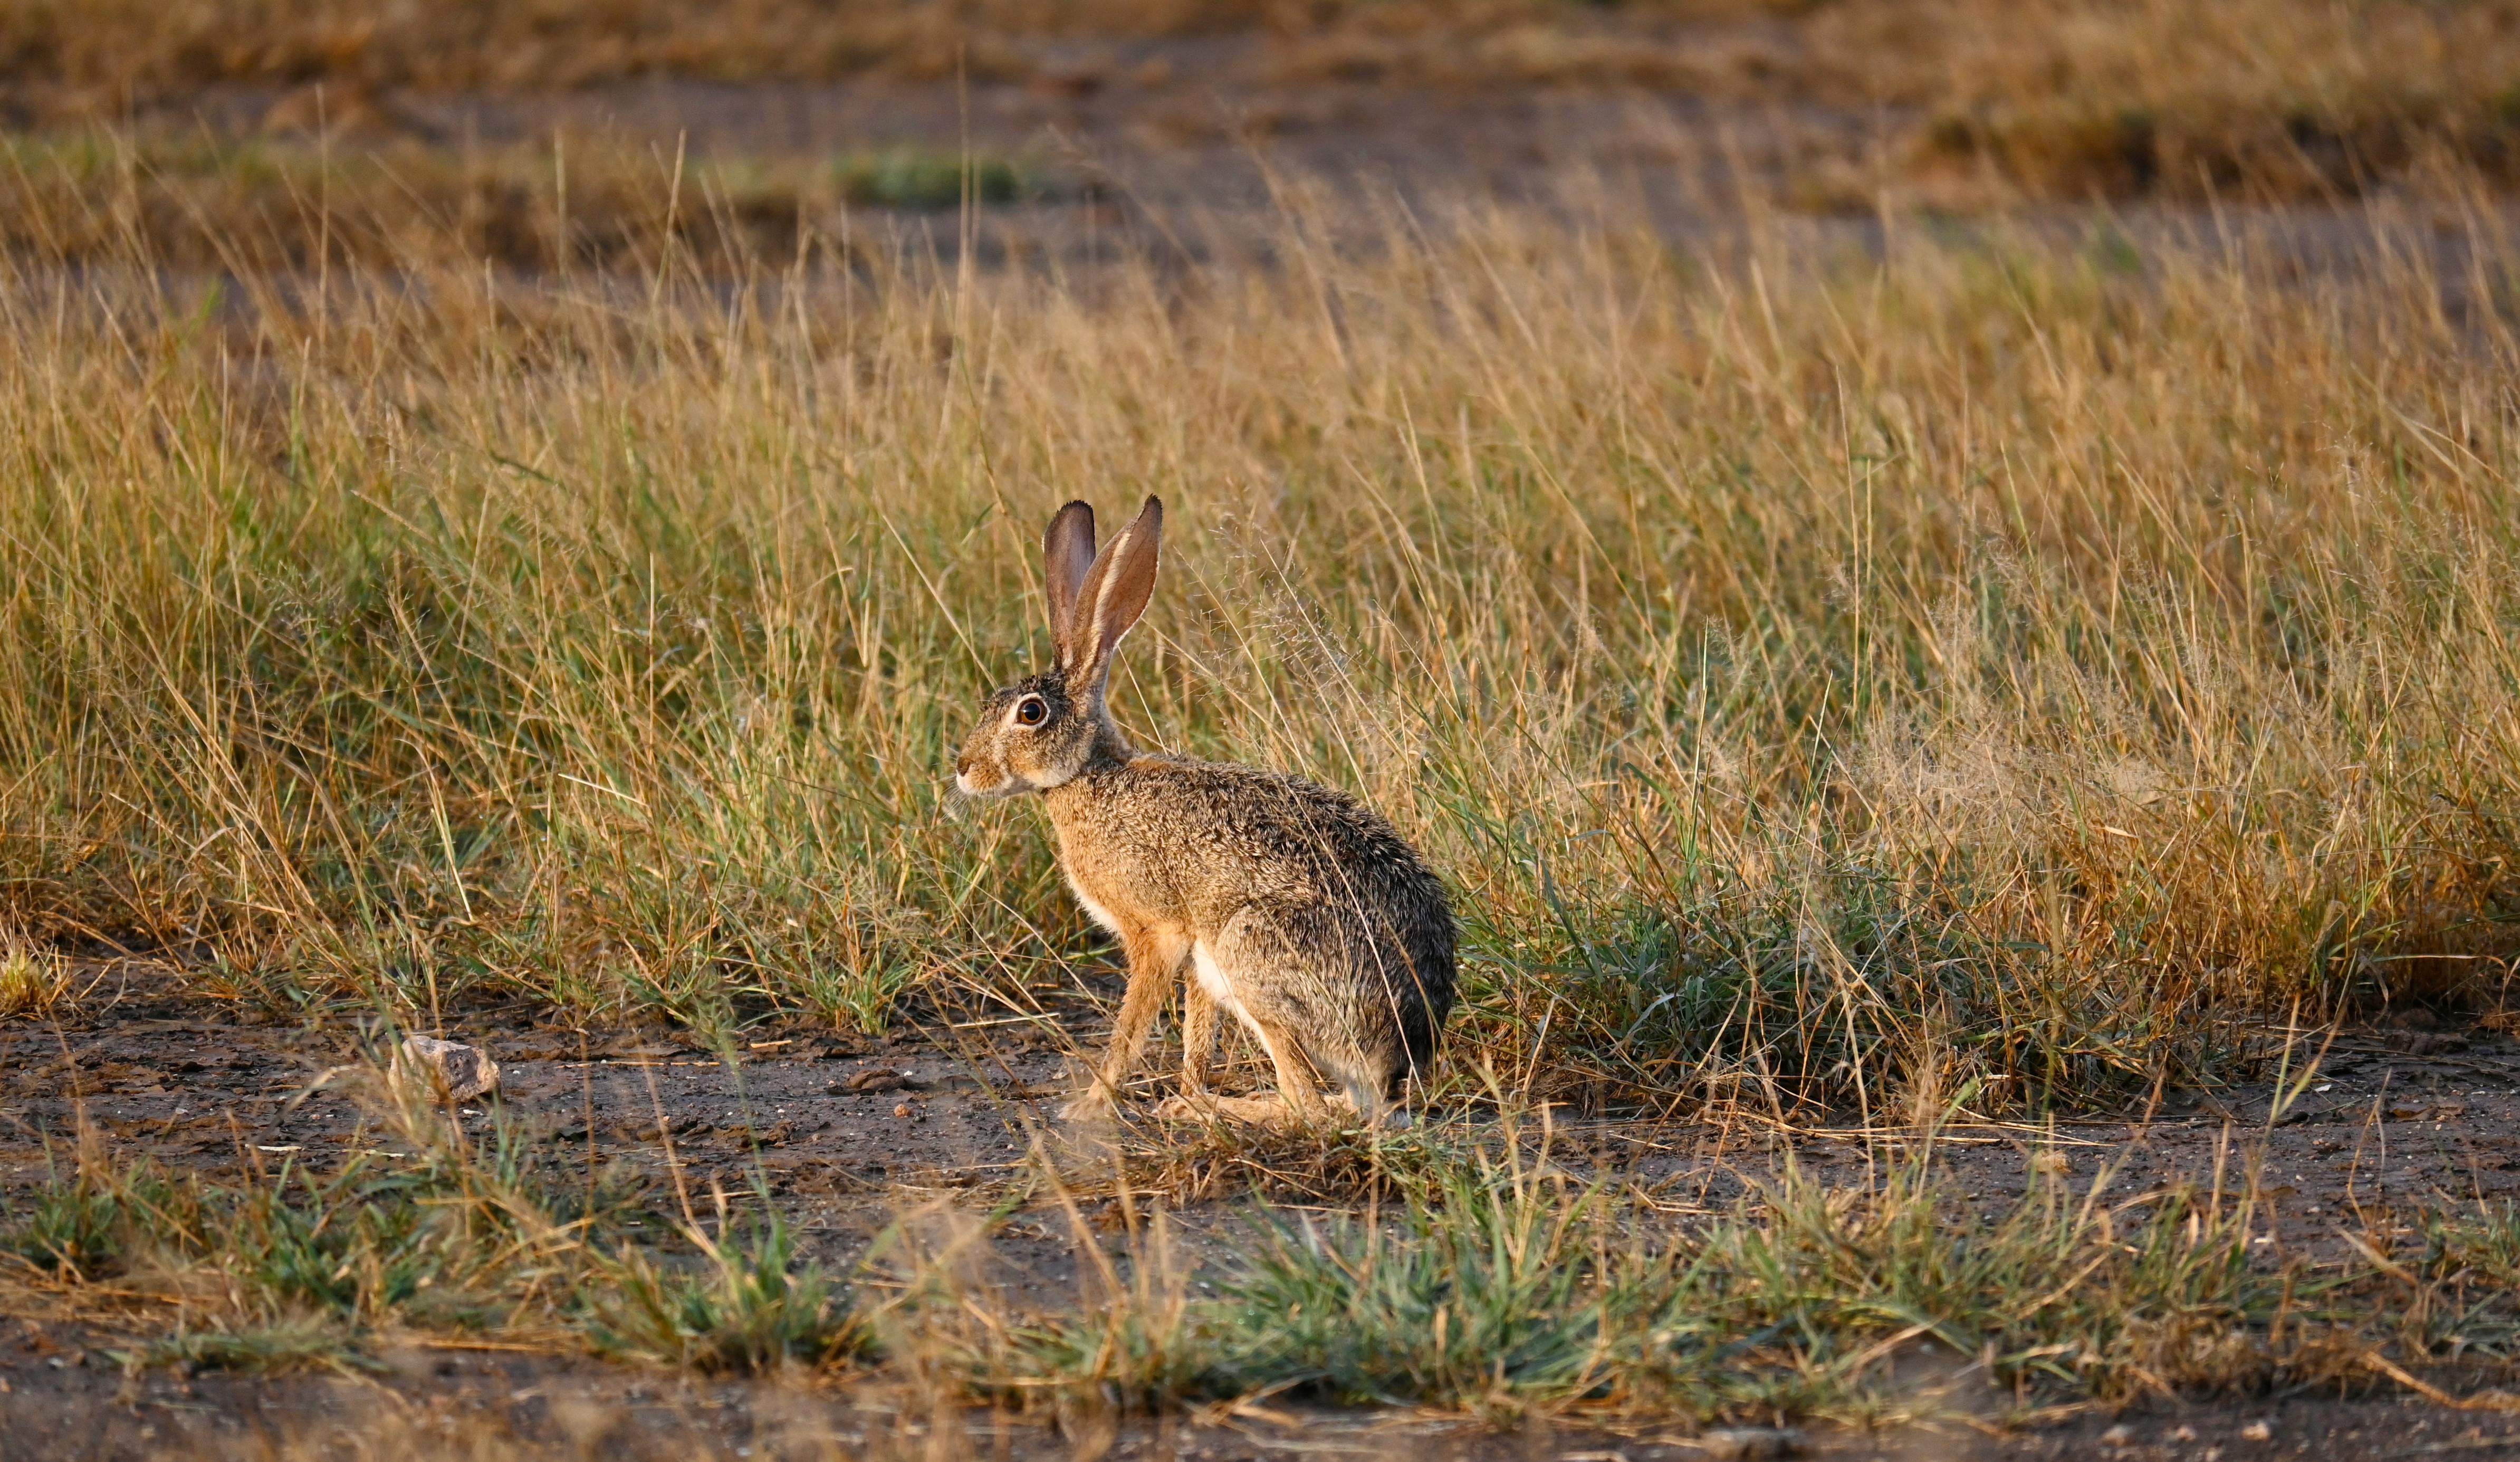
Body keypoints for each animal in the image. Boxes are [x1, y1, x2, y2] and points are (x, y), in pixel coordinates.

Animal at [953, 496, 1456, 1129]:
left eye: (1030, 713)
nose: (963, 768)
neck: (1090, 776)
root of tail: (1405, 1046)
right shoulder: (1196, 961)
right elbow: (1196, 1034)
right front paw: (1179, 1085)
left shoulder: (1158, 930)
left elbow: (1131, 1028)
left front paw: (1091, 1103)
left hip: (1253, 955)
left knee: (1310, 1107)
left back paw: (1212, 1109)